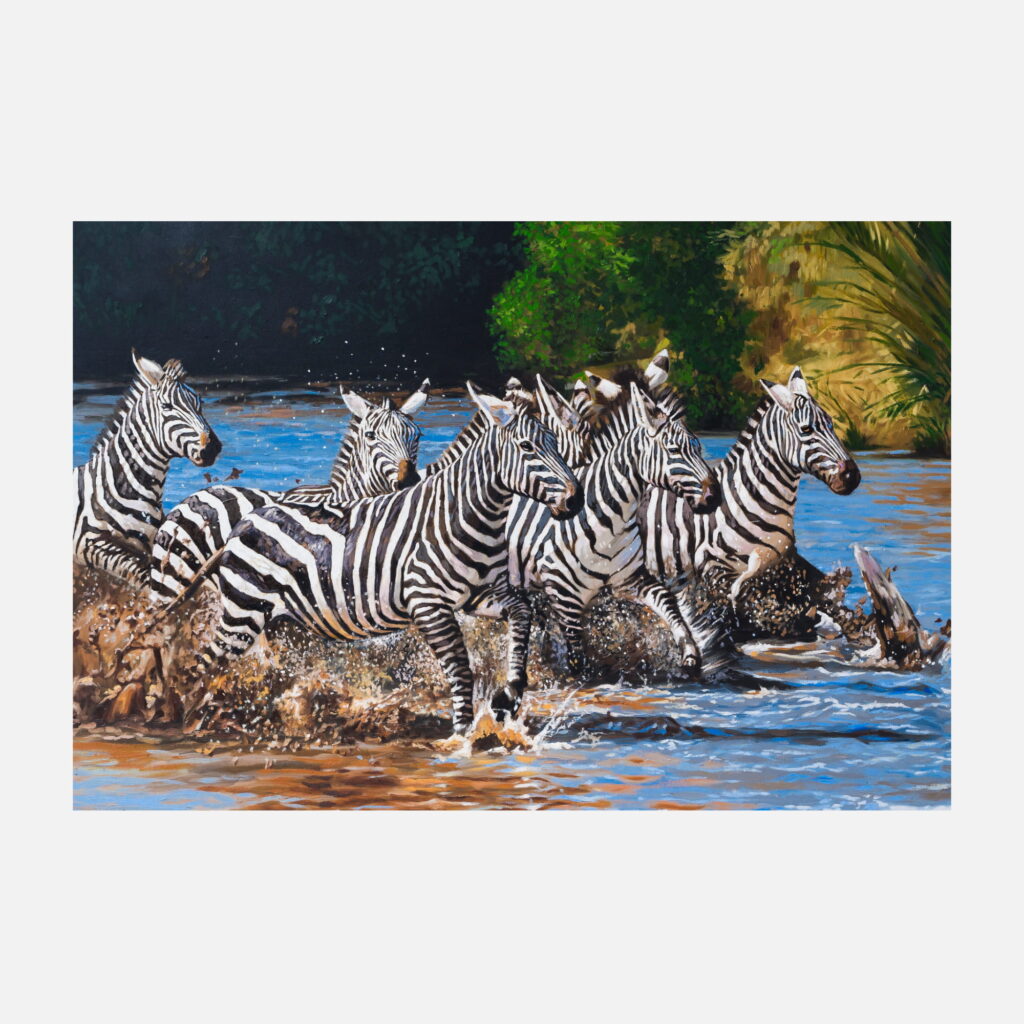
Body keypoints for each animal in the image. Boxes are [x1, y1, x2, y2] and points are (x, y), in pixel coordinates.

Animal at [74, 350, 221, 586]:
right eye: (167, 406)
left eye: (200, 404)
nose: (212, 448)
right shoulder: (89, 543)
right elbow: (142, 576)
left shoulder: (154, 541)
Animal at [506, 381, 718, 676]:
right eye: (674, 450)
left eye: (699, 449)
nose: (715, 497)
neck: (609, 521)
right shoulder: (564, 596)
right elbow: (577, 658)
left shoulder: (632, 579)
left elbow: (667, 602)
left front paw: (690, 654)